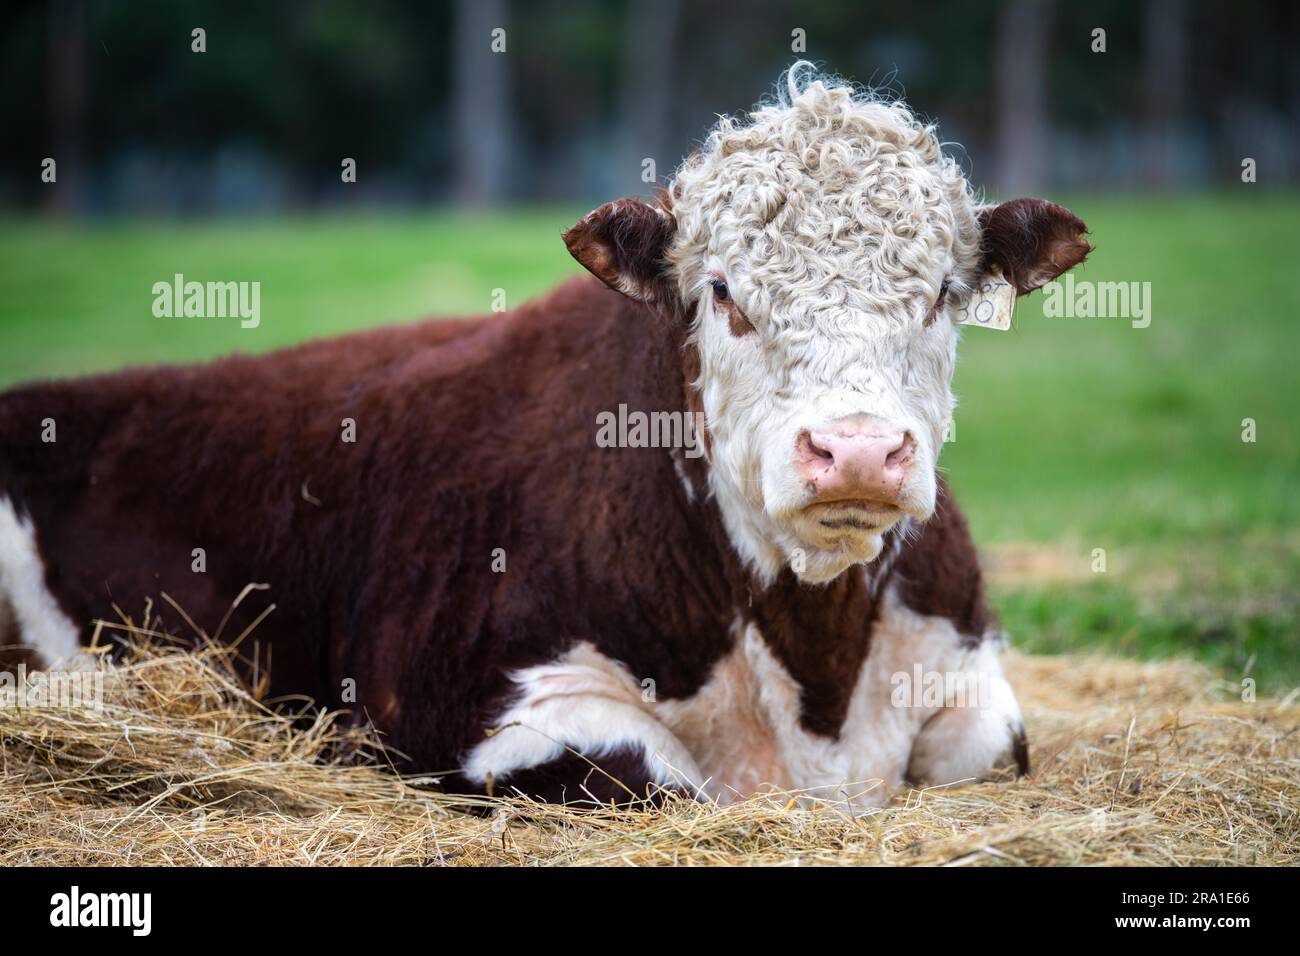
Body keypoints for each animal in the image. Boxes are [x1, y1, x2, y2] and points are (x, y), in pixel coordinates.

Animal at [0, 65, 1090, 808]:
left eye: (942, 294)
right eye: (723, 293)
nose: (856, 451)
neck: (814, 667)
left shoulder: (970, 677)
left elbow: (987, 746)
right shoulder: (470, 707)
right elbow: (651, 770)